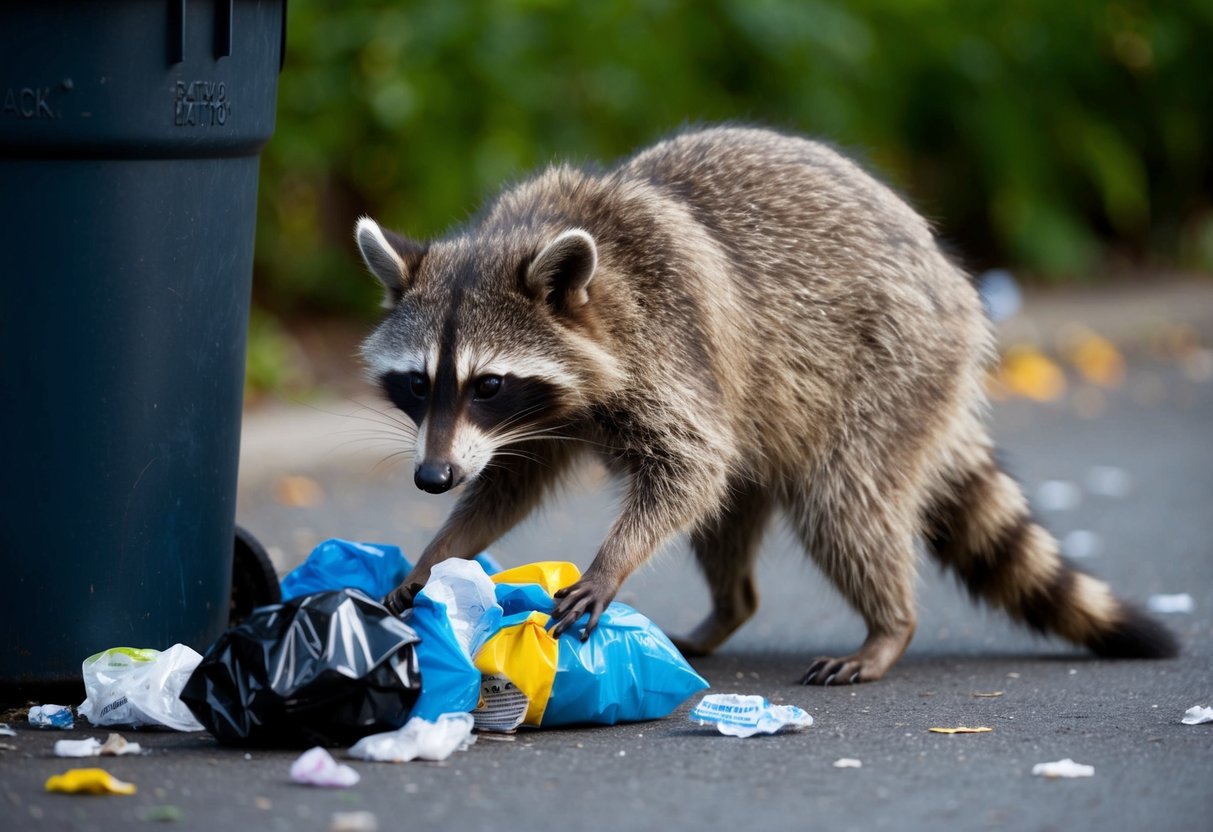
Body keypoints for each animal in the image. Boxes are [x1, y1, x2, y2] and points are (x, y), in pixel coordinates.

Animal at [355, 126, 1177, 684]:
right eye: (418, 384)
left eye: (488, 384)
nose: (431, 480)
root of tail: (950, 278)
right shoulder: (537, 421)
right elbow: (510, 484)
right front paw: (442, 550)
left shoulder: (668, 345)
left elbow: (686, 467)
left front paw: (612, 559)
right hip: (774, 415)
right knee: (729, 514)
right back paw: (730, 607)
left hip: (897, 361)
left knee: (843, 504)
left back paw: (889, 626)